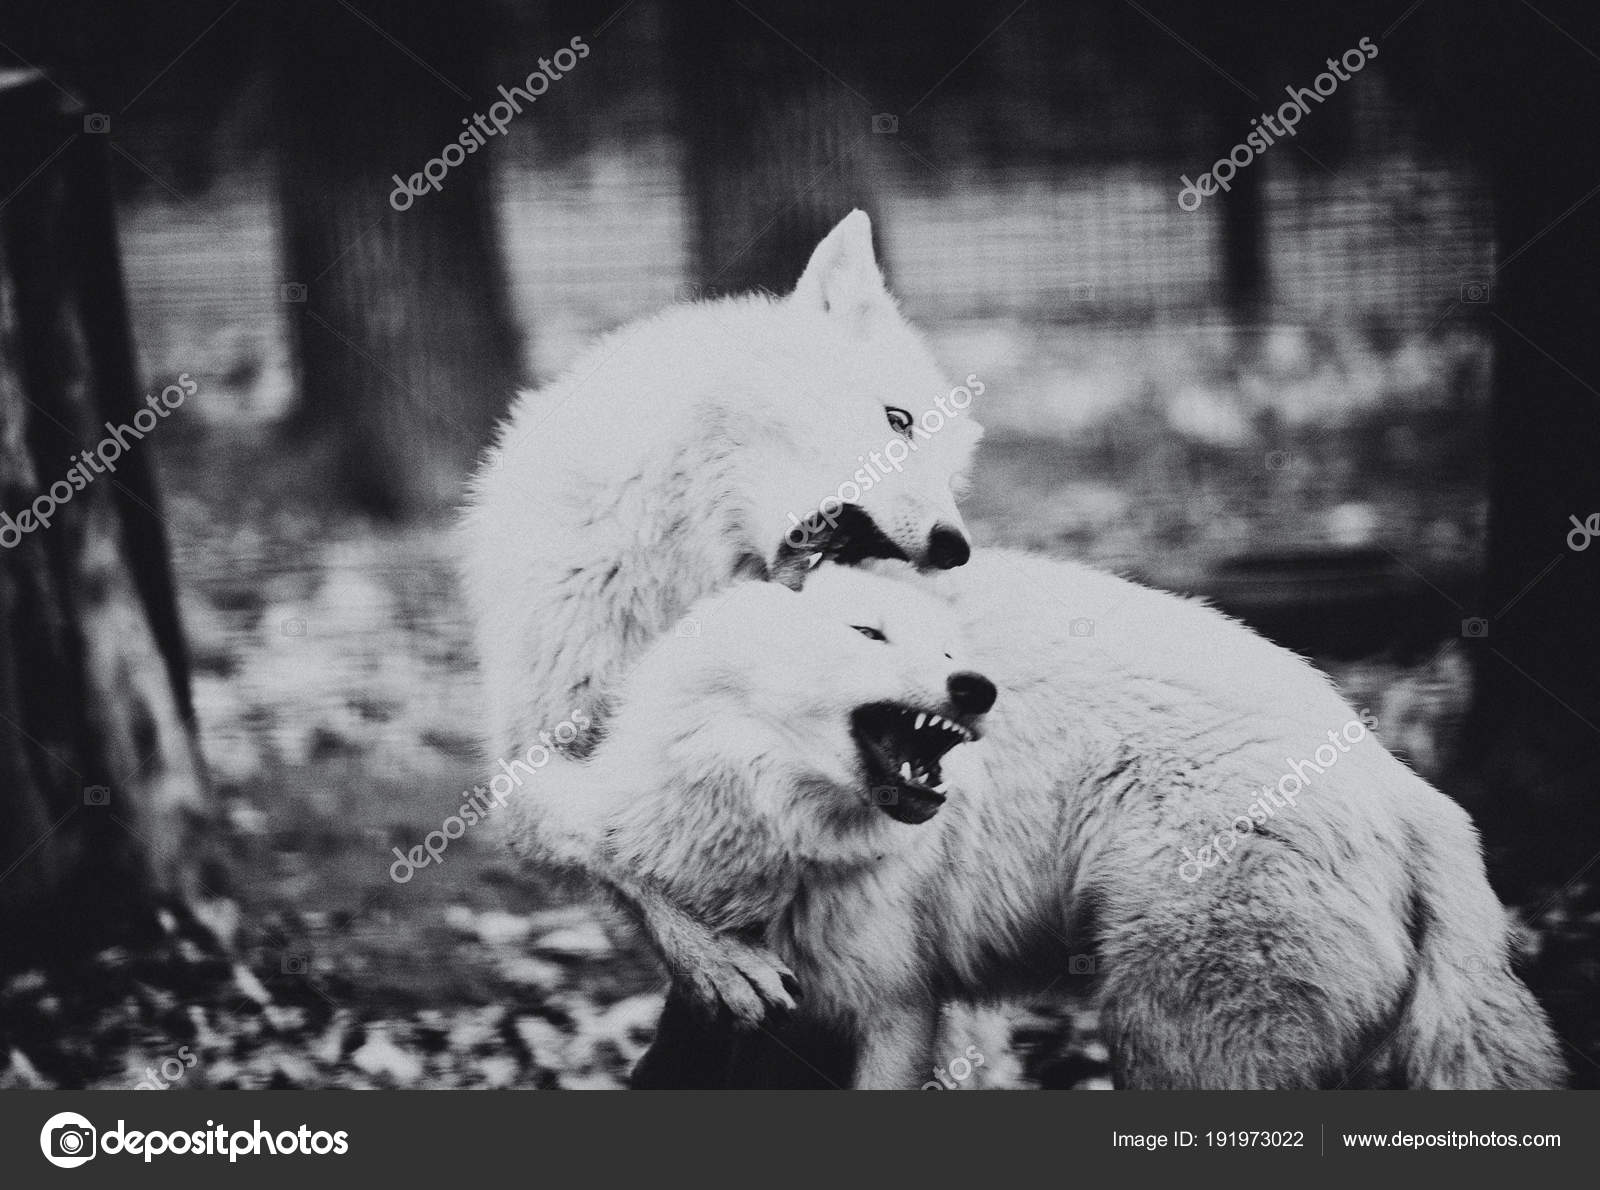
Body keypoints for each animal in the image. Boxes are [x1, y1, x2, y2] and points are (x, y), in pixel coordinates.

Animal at [458, 210, 985, 1082]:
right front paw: (713, 959)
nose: (955, 546)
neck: (687, 571)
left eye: (953, 475)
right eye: (898, 421)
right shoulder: (529, 760)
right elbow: (608, 841)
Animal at [513, 554, 1565, 1090]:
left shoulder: (896, 1005)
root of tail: (1405, 786)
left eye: (952, 650)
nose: (976, 686)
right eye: (869, 635)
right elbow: (611, 860)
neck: (776, 821)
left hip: (1176, 1039)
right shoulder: (586, 800)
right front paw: (719, 963)